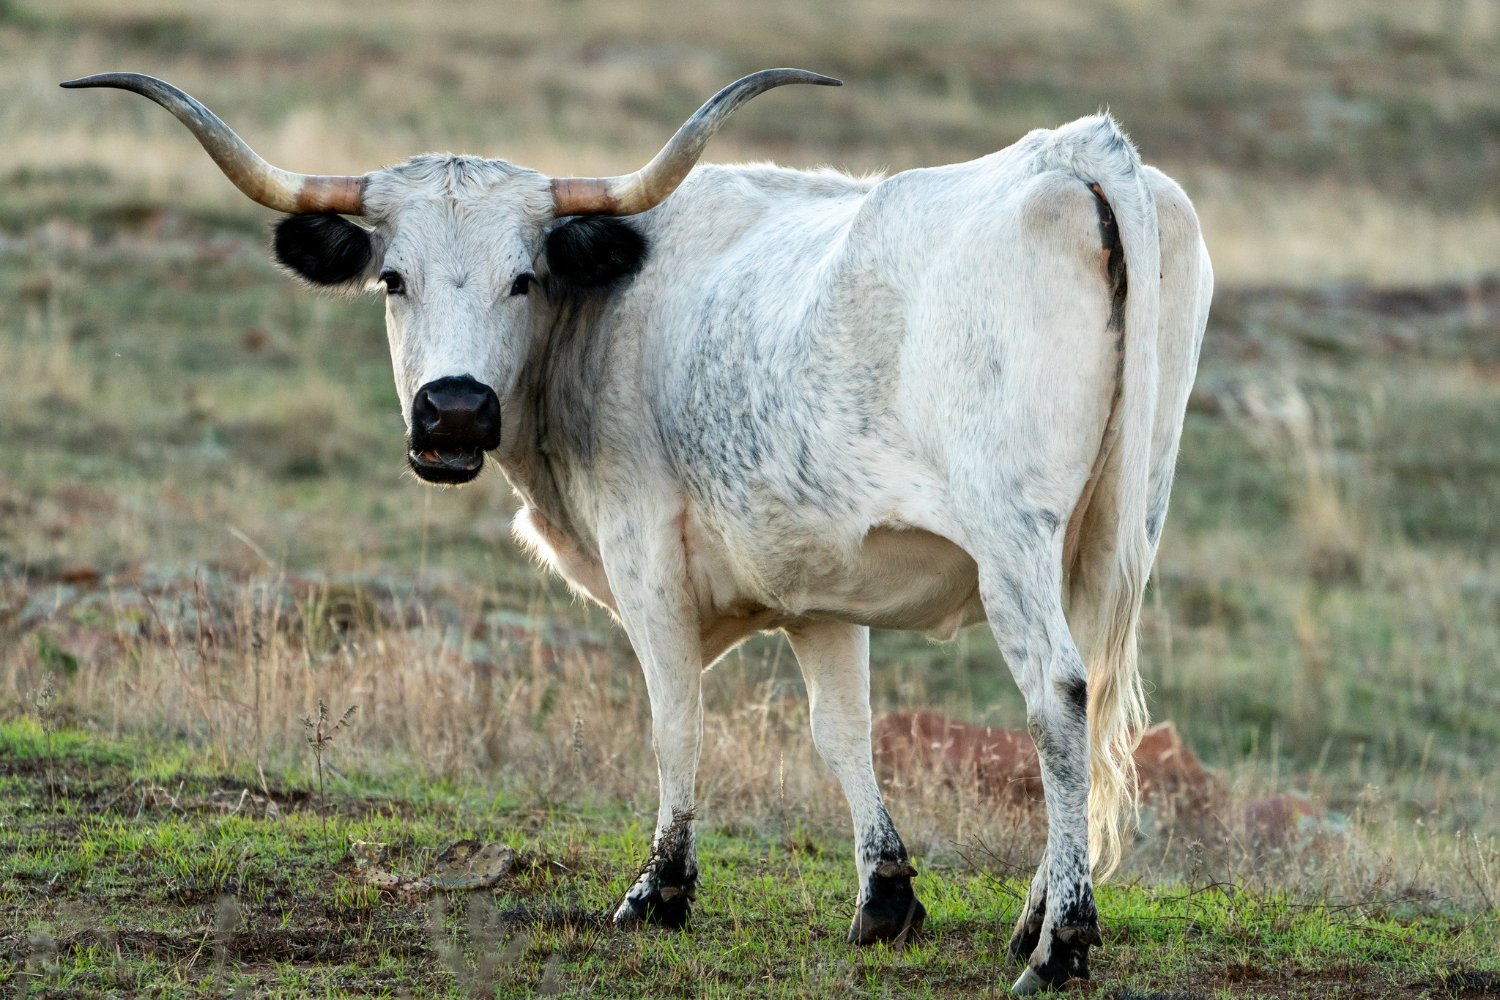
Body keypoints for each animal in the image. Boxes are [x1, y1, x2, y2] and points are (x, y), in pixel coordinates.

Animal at [64, 68, 1211, 993]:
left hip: (1016, 537)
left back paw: (1061, 945)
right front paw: (884, 900)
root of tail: (1081, 152)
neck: (599, 311)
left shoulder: (643, 550)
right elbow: (841, 730)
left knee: (1057, 696)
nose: (453, 412)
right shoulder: (818, 583)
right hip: (1113, 532)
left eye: (524, 275)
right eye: (393, 278)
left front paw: (659, 892)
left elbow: (674, 717)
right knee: (1088, 698)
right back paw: (1034, 917)